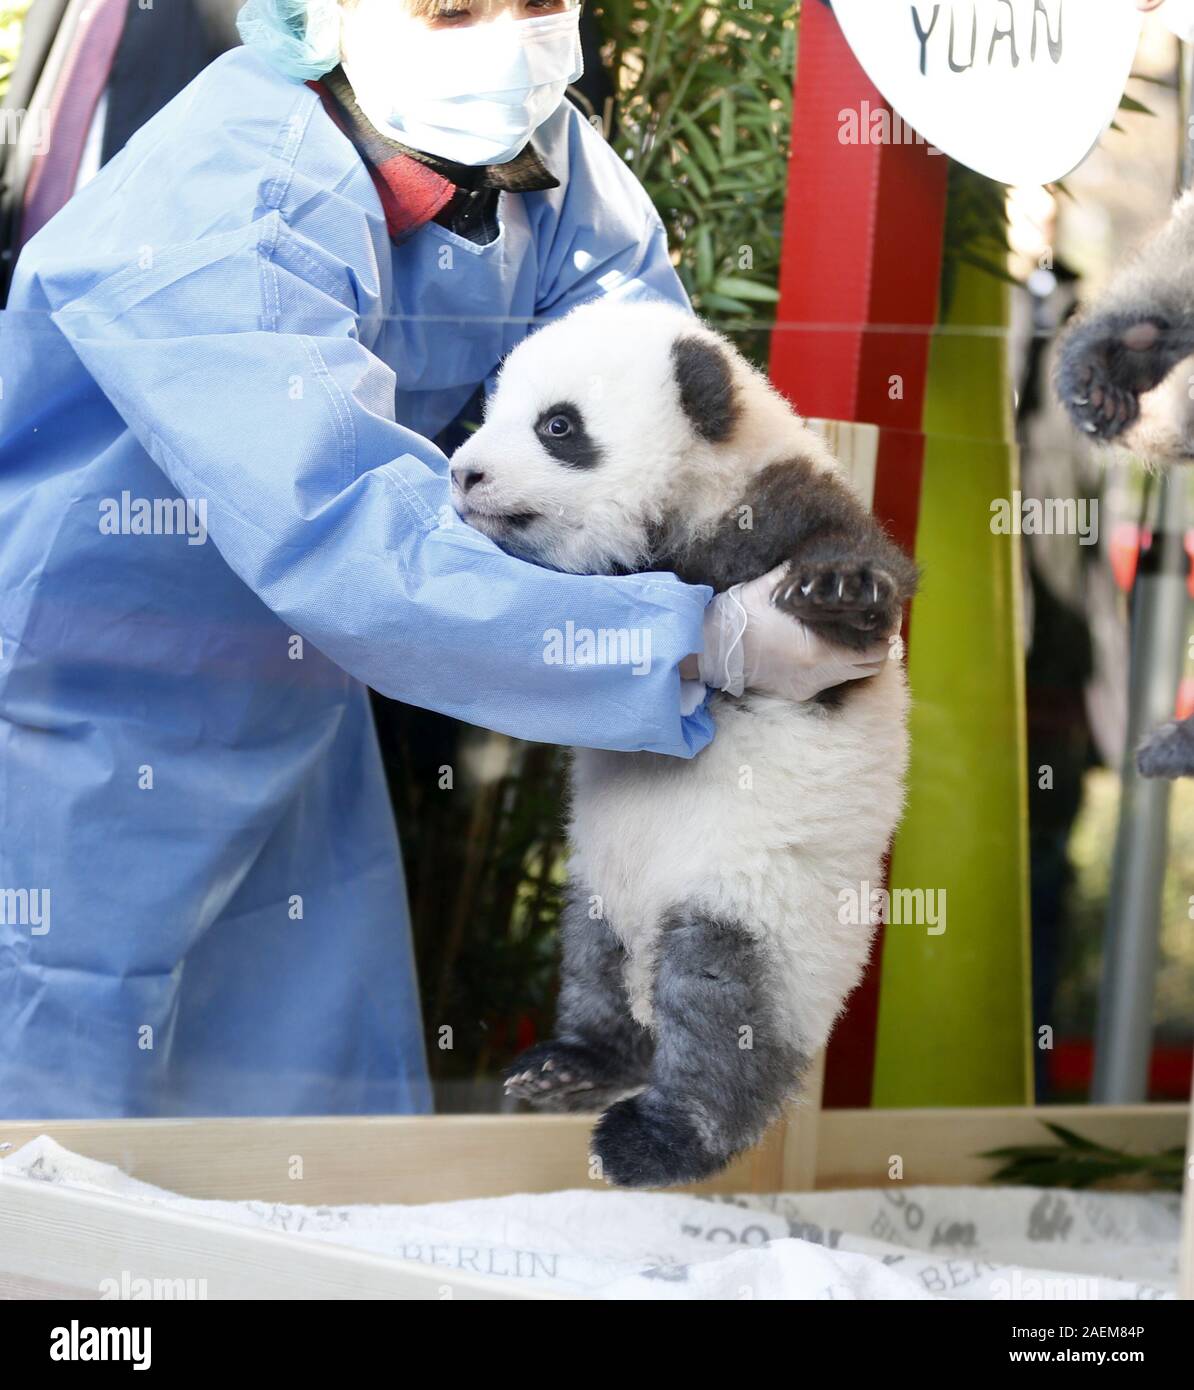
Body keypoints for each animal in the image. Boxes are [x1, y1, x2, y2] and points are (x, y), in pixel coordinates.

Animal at [451, 299, 918, 1188]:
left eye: (558, 425)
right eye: (489, 411)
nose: (462, 474)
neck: (692, 502)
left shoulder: (782, 509)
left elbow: (853, 579)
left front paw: (838, 591)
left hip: (759, 909)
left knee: (719, 1015)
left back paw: (656, 1138)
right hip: (591, 890)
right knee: (592, 973)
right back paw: (571, 1065)